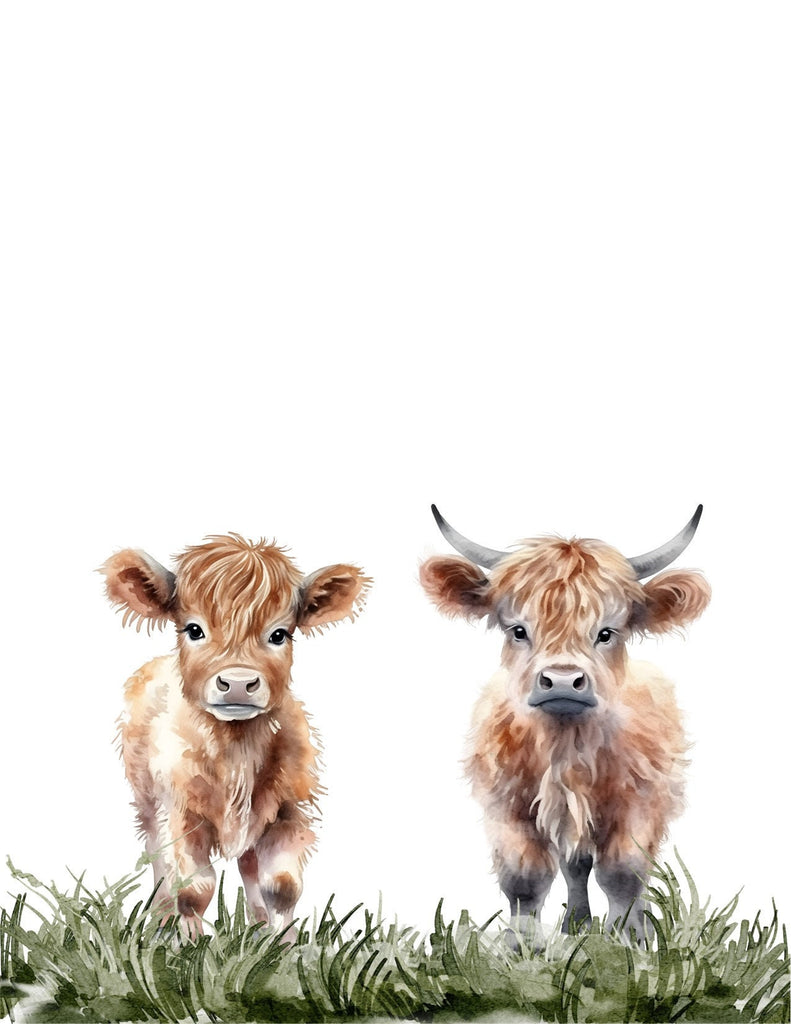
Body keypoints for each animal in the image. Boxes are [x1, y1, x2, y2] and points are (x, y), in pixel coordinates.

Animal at [102, 533, 370, 938]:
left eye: (279, 634)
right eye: (194, 630)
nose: (239, 683)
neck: (236, 754)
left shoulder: (290, 812)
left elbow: (282, 886)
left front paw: (284, 947)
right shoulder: (178, 813)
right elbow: (193, 888)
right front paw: (189, 947)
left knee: (250, 871)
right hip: (147, 804)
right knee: (160, 867)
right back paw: (162, 926)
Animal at [419, 506, 709, 946]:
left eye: (607, 633)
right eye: (518, 630)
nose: (560, 680)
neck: (565, 745)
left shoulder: (638, 804)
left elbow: (624, 874)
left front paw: (627, 944)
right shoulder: (507, 806)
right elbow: (524, 880)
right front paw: (521, 948)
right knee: (576, 866)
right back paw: (576, 926)